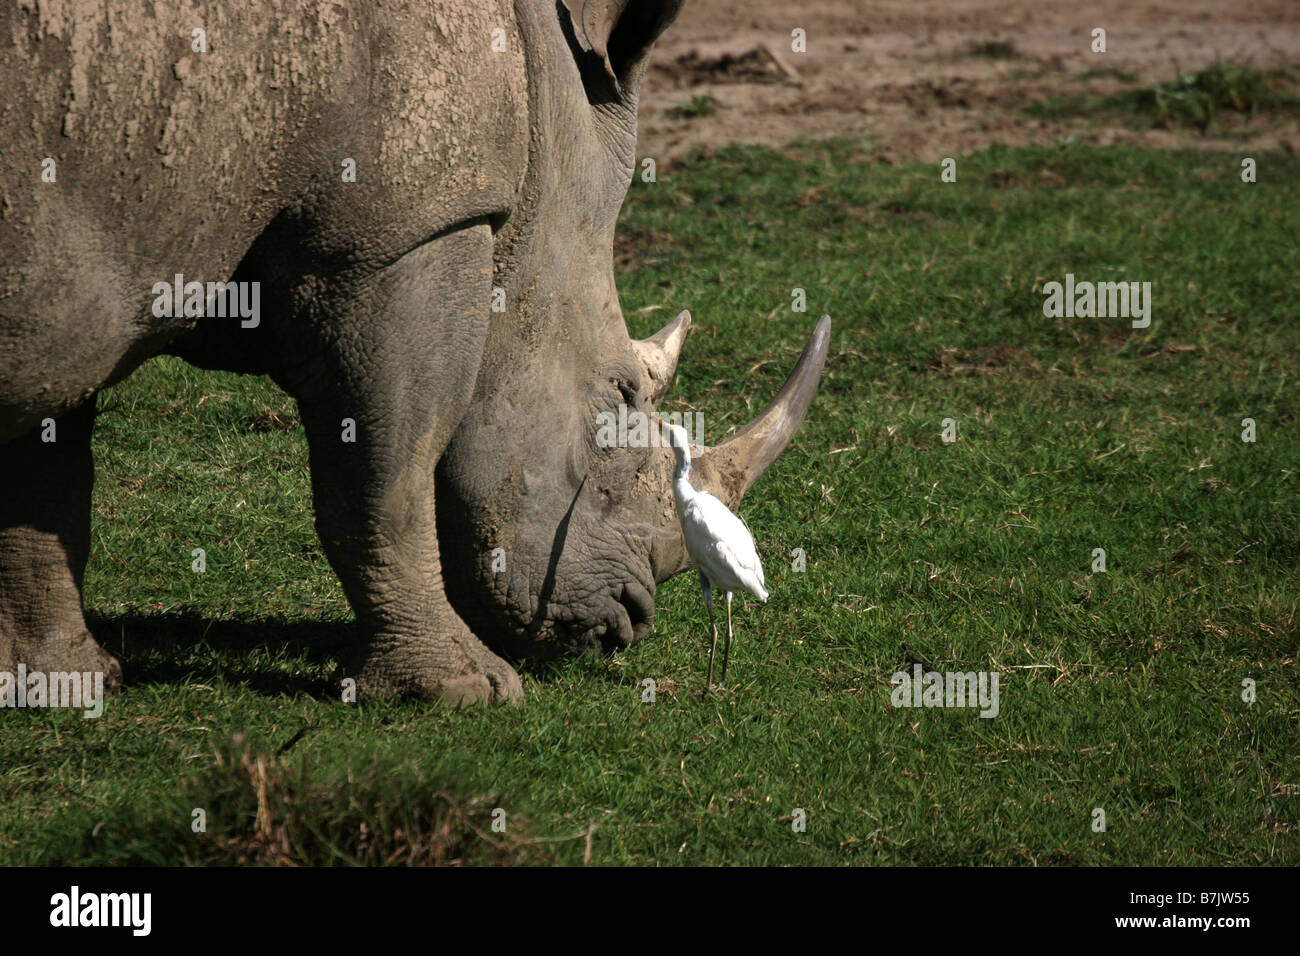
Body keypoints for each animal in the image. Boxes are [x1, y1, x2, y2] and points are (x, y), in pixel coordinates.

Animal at [0, 0, 829, 704]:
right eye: (621, 392)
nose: (630, 622)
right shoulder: (409, 235)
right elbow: (387, 472)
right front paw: (464, 692)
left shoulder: (71, 292)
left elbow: (46, 470)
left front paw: (61, 684)